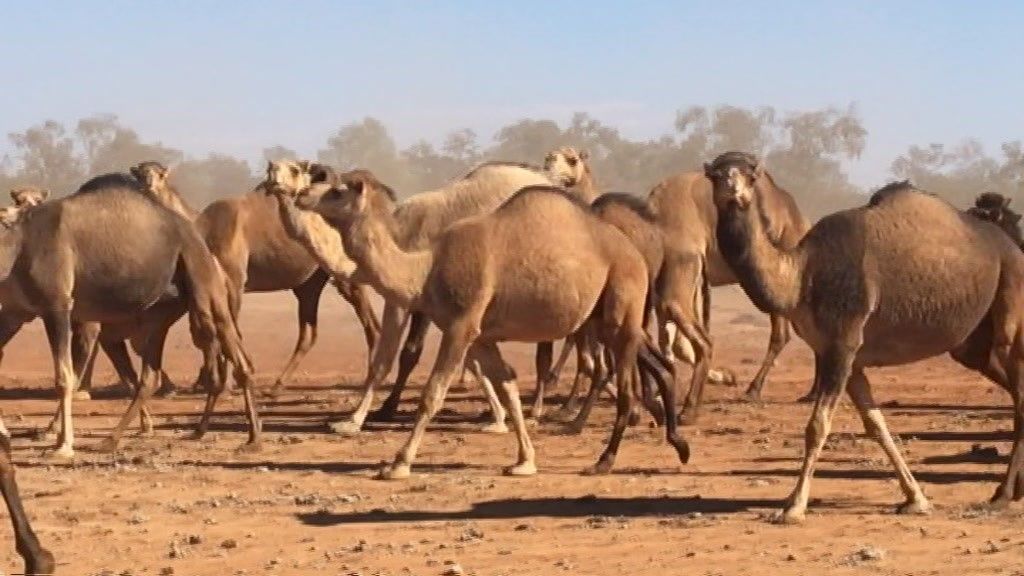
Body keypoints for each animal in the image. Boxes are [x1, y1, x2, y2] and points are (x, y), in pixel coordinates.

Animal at [0, 172, 253, 458]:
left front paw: (63, 445)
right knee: (151, 374)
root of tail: (195, 234)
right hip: (160, 311)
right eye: (17, 201)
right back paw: (114, 439)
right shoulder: (14, 310)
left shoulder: (57, 305)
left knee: (233, 350)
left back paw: (250, 437)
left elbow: (65, 376)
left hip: (203, 281)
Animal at [194, 160, 380, 396]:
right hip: (310, 284)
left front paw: (227, 382)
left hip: (343, 273)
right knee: (310, 331)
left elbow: (228, 328)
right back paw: (277, 384)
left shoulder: (233, 280)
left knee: (370, 323)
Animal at [289, 172, 687, 477]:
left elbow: (432, 394)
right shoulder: (481, 336)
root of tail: (639, 255)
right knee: (651, 366)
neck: (424, 271)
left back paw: (604, 461)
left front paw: (398, 464)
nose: (302, 194)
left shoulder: (461, 324)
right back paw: (679, 444)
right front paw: (524, 461)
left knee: (628, 386)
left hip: (622, 300)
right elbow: (508, 385)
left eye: (337, 190)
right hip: (603, 318)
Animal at [706, 151, 1024, 521]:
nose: (734, 191)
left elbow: (817, 426)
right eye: (716, 175)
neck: (801, 276)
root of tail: (1014, 250)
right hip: (973, 344)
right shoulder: (845, 356)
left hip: (1010, 304)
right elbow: (876, 425)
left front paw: (794, 506)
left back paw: (1003, 494)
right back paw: (1009, 491)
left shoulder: (842, 344)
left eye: (751, 175)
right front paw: (916, 499)